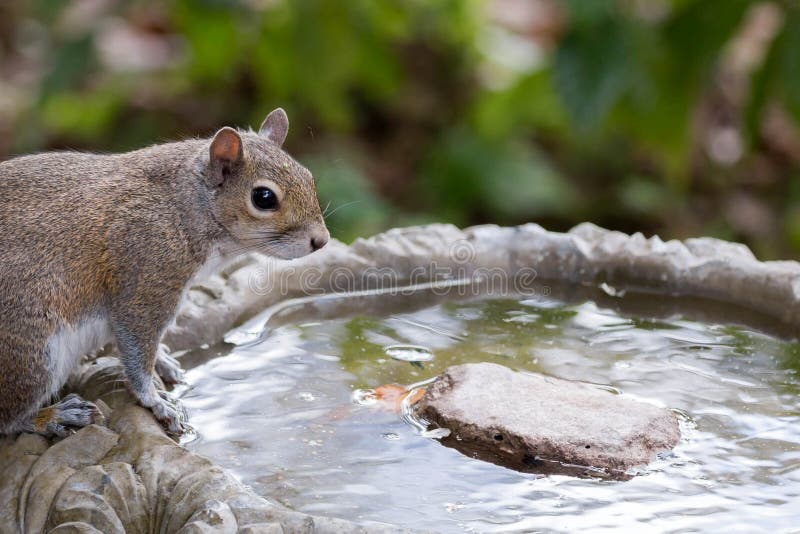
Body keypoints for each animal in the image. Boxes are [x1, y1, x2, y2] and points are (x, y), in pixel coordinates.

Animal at [0, 108, 329, 436]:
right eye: (263, 198)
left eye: (309, 177)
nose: (322, 240)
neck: (181, 206)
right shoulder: (145, 280)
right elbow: (137, 347)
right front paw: (156, 402)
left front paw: (164, 362)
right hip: (31, 354)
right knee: (9, 418)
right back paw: (52, 416)